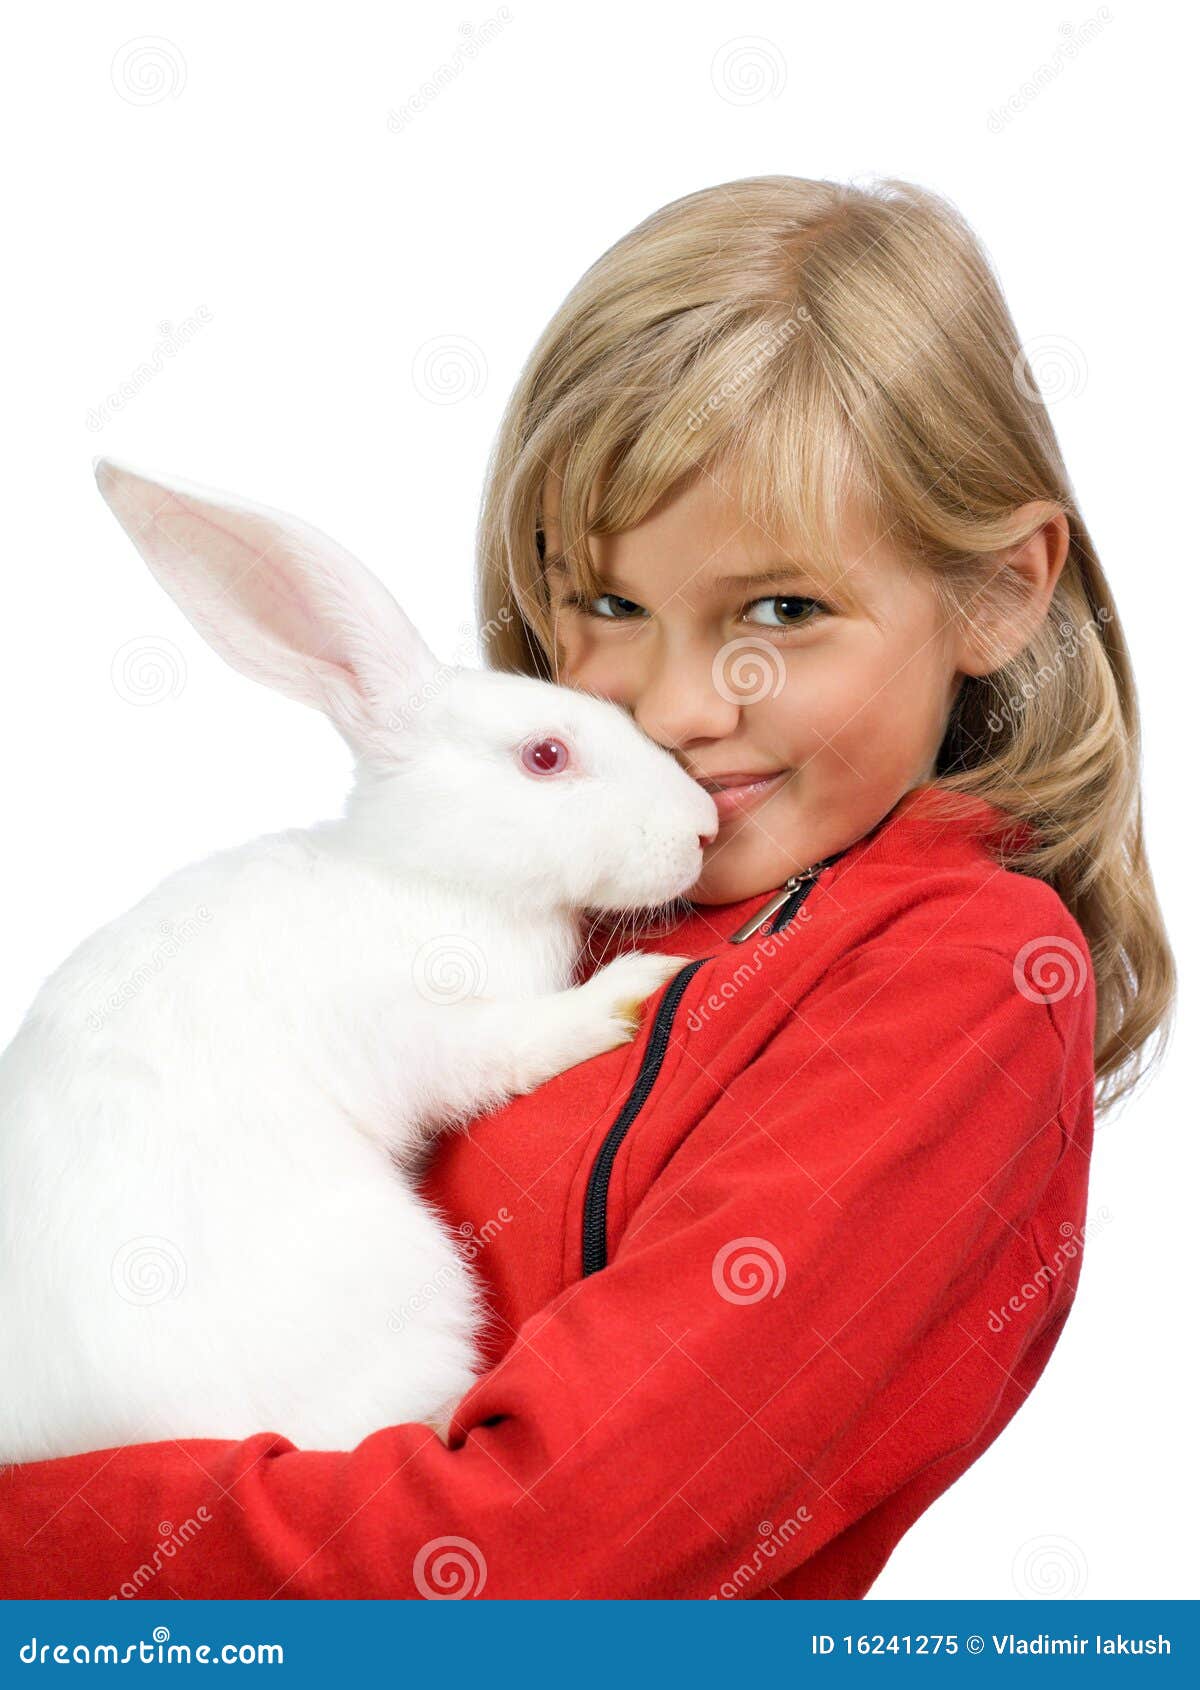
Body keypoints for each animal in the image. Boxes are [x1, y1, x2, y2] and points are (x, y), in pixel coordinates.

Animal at [0, 457, 719, 1464]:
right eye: (546, 756)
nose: (705, 827)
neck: (427, 874)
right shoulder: (424, 1030)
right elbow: (513, 1045)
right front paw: (631, 991)